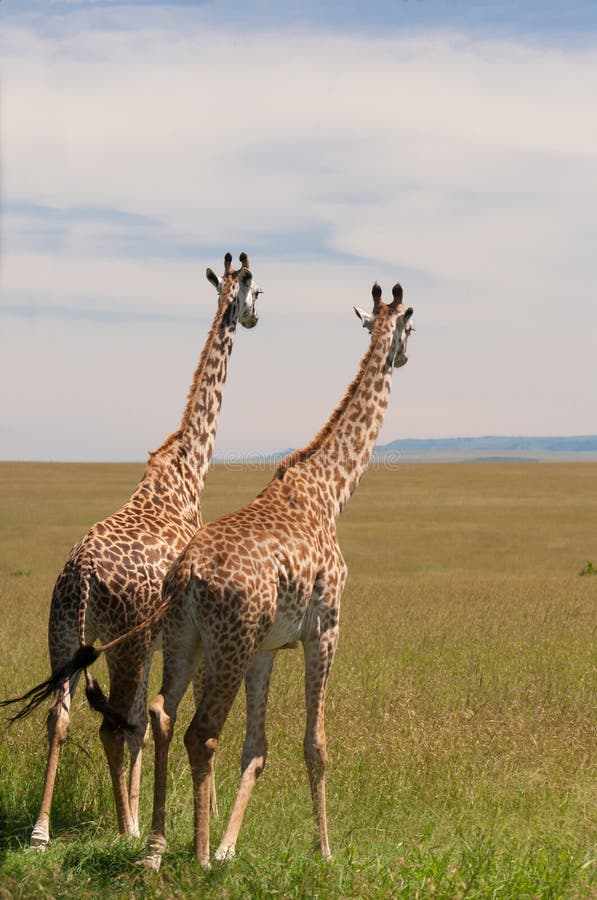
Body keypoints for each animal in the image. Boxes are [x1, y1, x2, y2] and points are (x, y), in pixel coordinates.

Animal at [1, 252, 262, 851]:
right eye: (257, 290)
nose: (255, 316)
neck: (188, 473)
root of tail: (82, 577)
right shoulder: (173, 633)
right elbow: (156, 719)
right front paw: (150, 822)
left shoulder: (154, 637)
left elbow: (143, 722)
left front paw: (142, 817)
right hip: (122, 641)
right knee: (109, 722)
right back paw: (122, 829)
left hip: (64, 634)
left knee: (60, 717)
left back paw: (41, 831)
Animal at [140, 280, 414, 870]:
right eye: (413, 327)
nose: (404, 355)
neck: (331, 491)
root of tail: (186, 576)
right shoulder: (326, 630)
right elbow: (316, 744)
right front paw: (326, 851)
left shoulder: (267, 649)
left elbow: (257, 747)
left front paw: (229, 846)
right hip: (228, 641)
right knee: (201, 732)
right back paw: (194, 857)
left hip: (185, 639)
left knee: (161, 713)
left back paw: (155, 850)